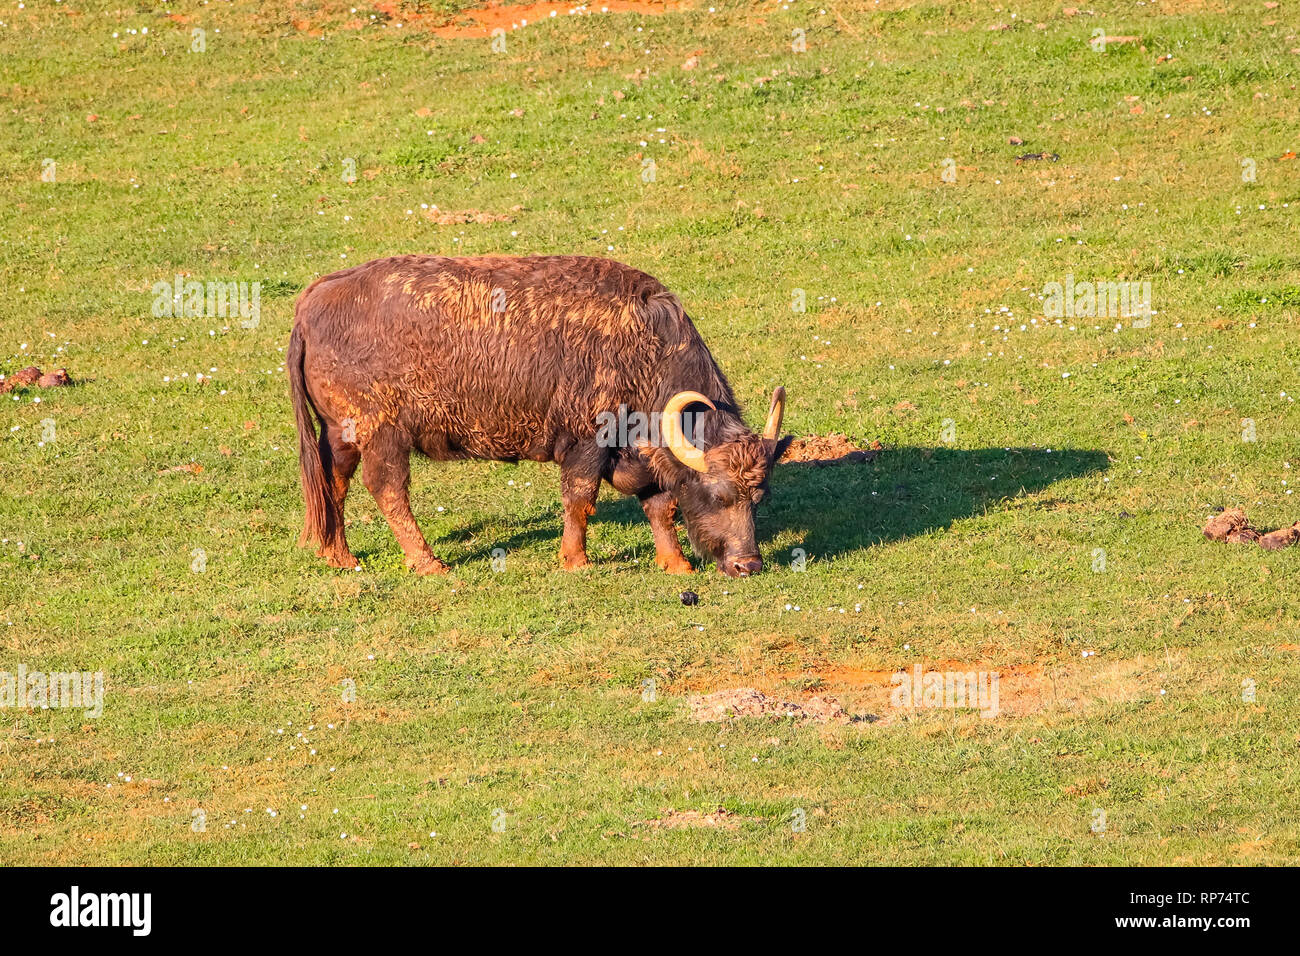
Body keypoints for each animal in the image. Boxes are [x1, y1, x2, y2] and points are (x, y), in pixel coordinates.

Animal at [288, 255, 791, 577]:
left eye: (759, 496)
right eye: (719, 494)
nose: (748, 565)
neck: (643, 349)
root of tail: (312, 304)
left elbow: (660, 505)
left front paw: (677, 565)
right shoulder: (588, 444)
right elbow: (580, 499)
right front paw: (576, 561)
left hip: (340, 434)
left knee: (332, 482)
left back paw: (339, 556)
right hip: (383, 436)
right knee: (388, 490)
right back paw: (429, 564)